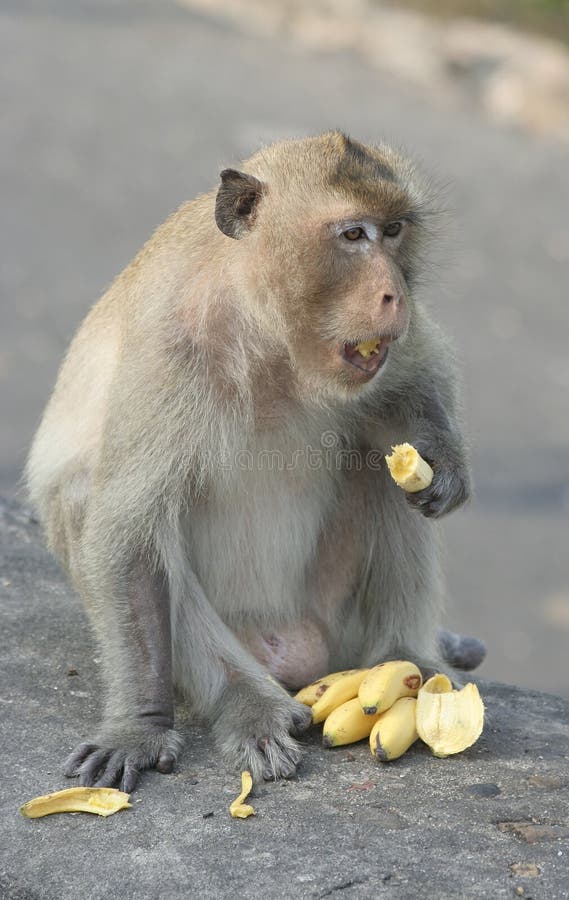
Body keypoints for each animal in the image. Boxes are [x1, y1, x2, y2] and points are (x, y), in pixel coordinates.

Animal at [26, 132, 485, 791]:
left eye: (395, 230)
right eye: (353, 235)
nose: (394, 293)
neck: (264, 329)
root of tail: (300, 649)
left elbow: (417, 369)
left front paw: (443, 458)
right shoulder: (169, 348)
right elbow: (126, 532)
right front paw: (140, 727)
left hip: (335, 614)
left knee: (375, 460)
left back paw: (405, 657)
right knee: (87, 499)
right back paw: (249, 705)